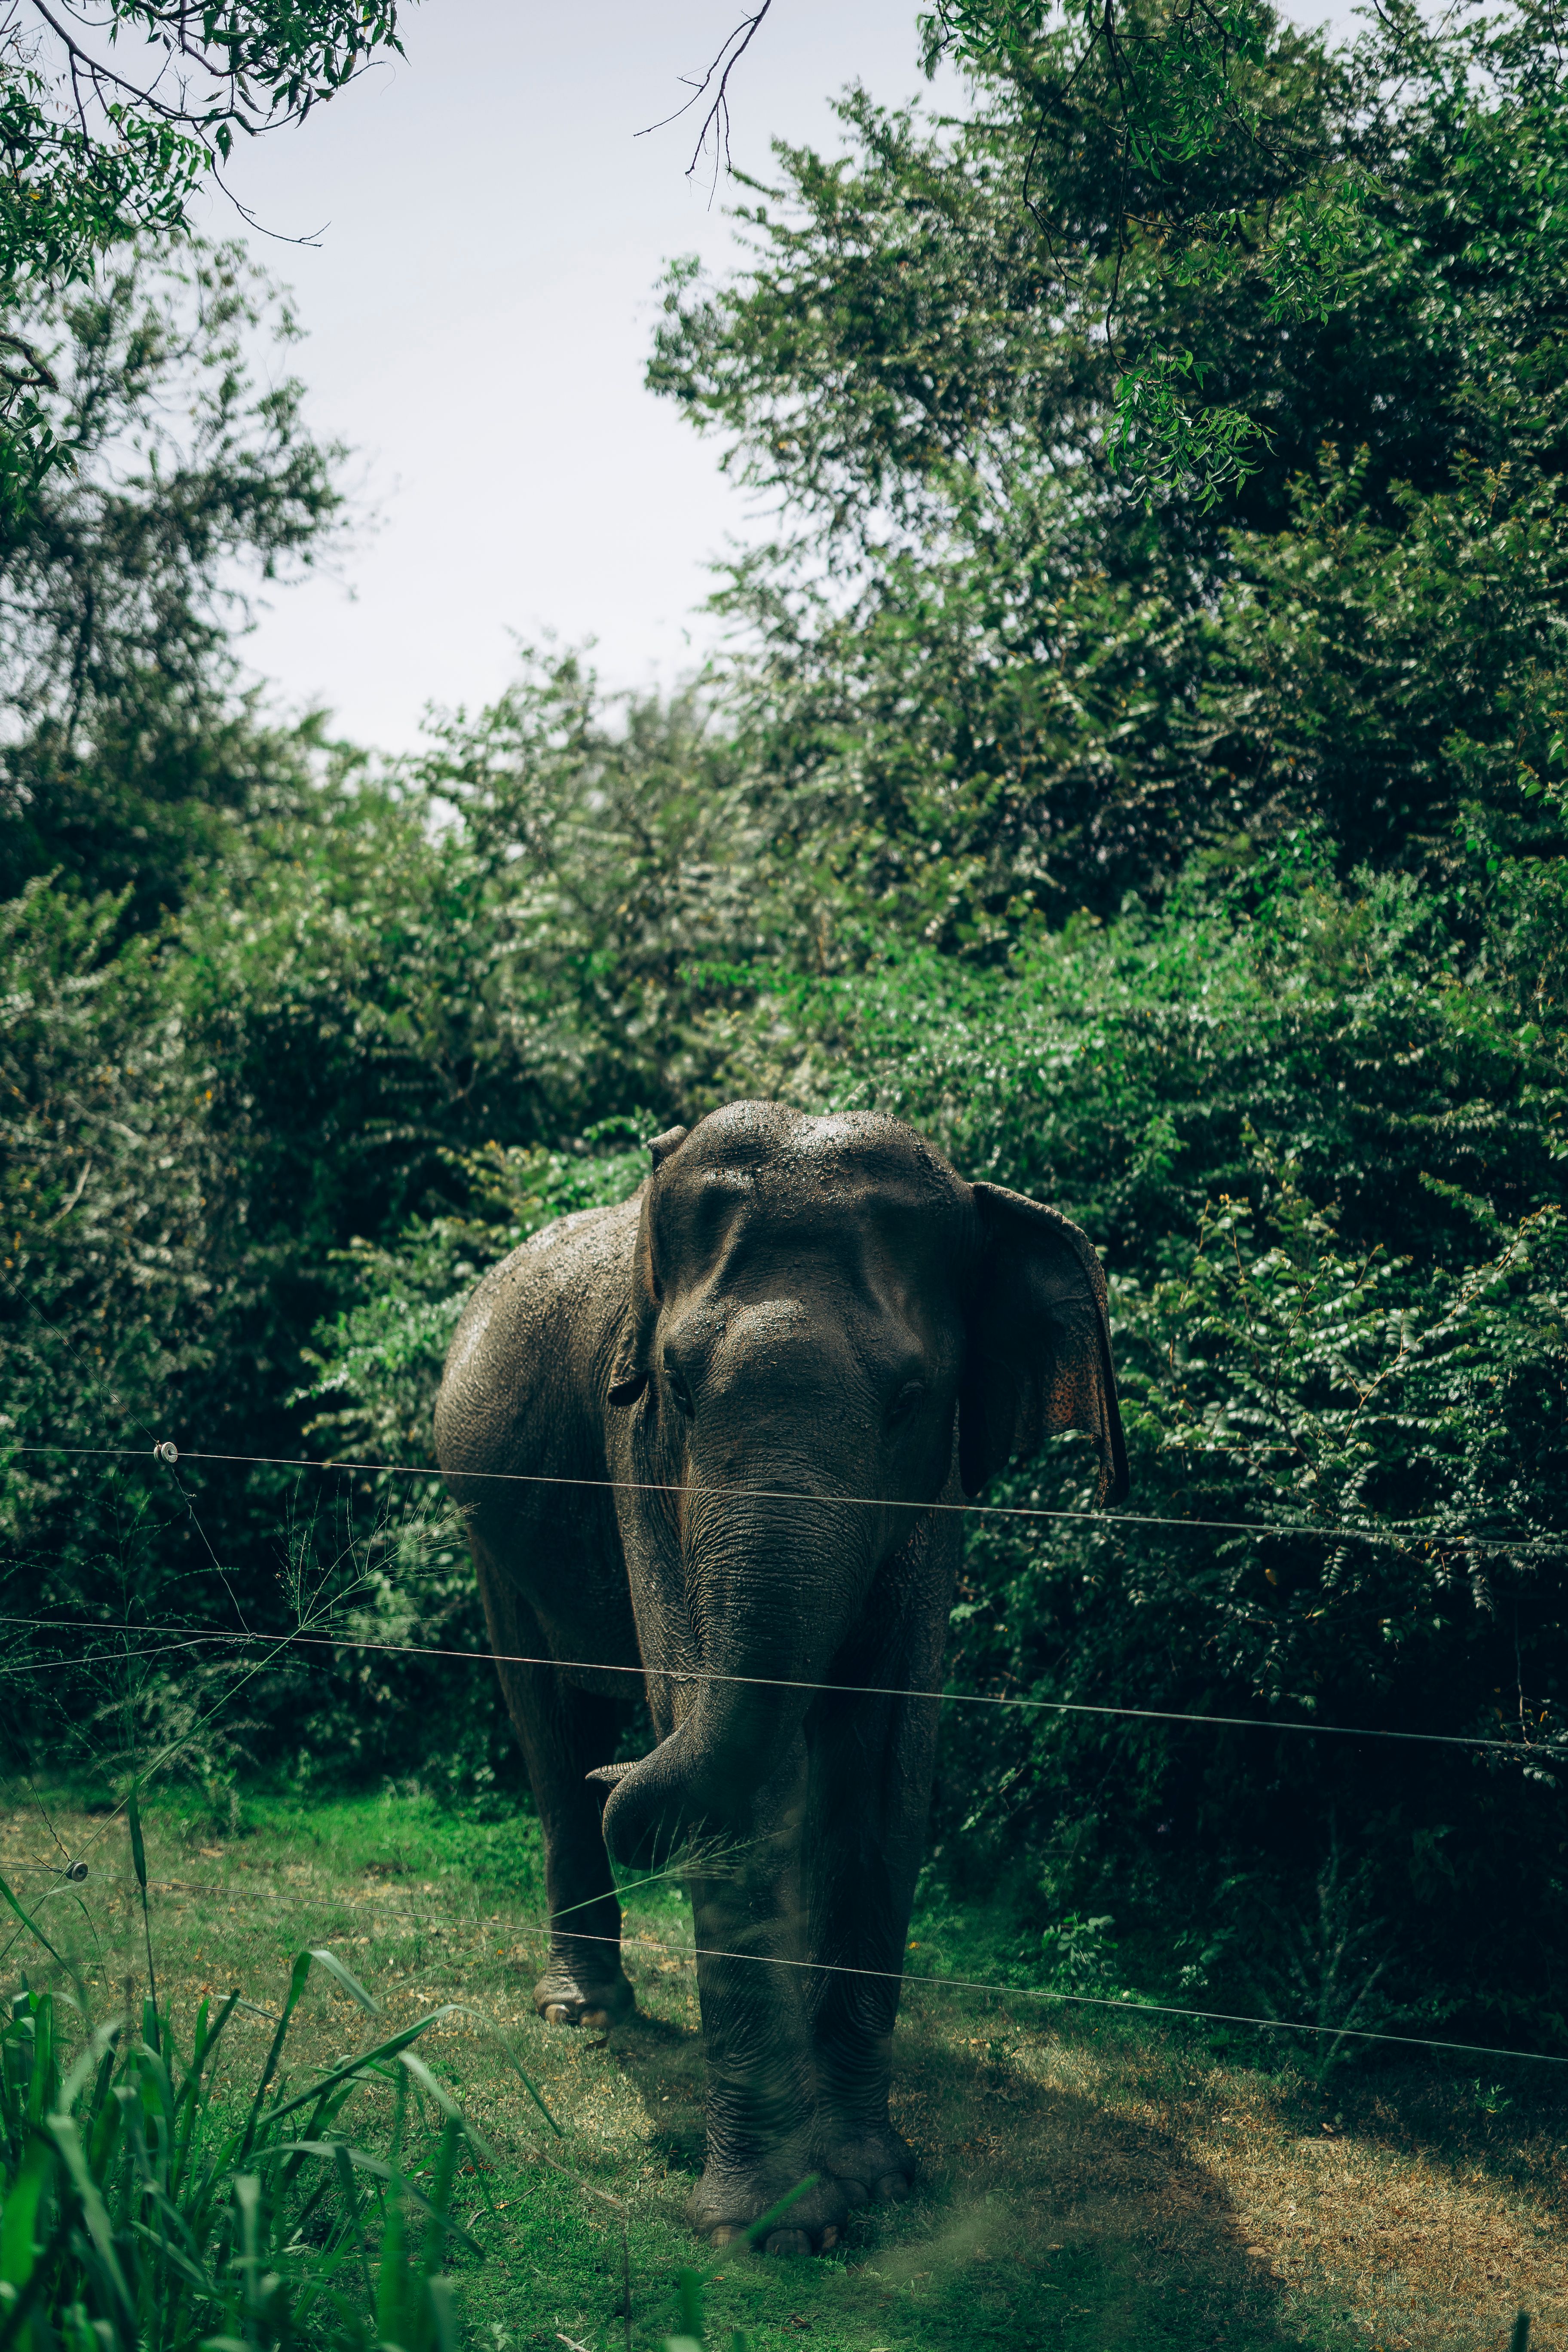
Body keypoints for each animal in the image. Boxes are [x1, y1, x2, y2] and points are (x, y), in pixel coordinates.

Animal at [434, 1101, 1126, 2253]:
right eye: (675, 1385)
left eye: (910, 1398)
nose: (631, 1782)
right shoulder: (638, 1453)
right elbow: (733, 1768)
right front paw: (775, 2228)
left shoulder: (934, 1491)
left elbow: (889, 1763)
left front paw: (874, 2180)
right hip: (484, 1522)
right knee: (549, 1724)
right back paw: (584, 2007)